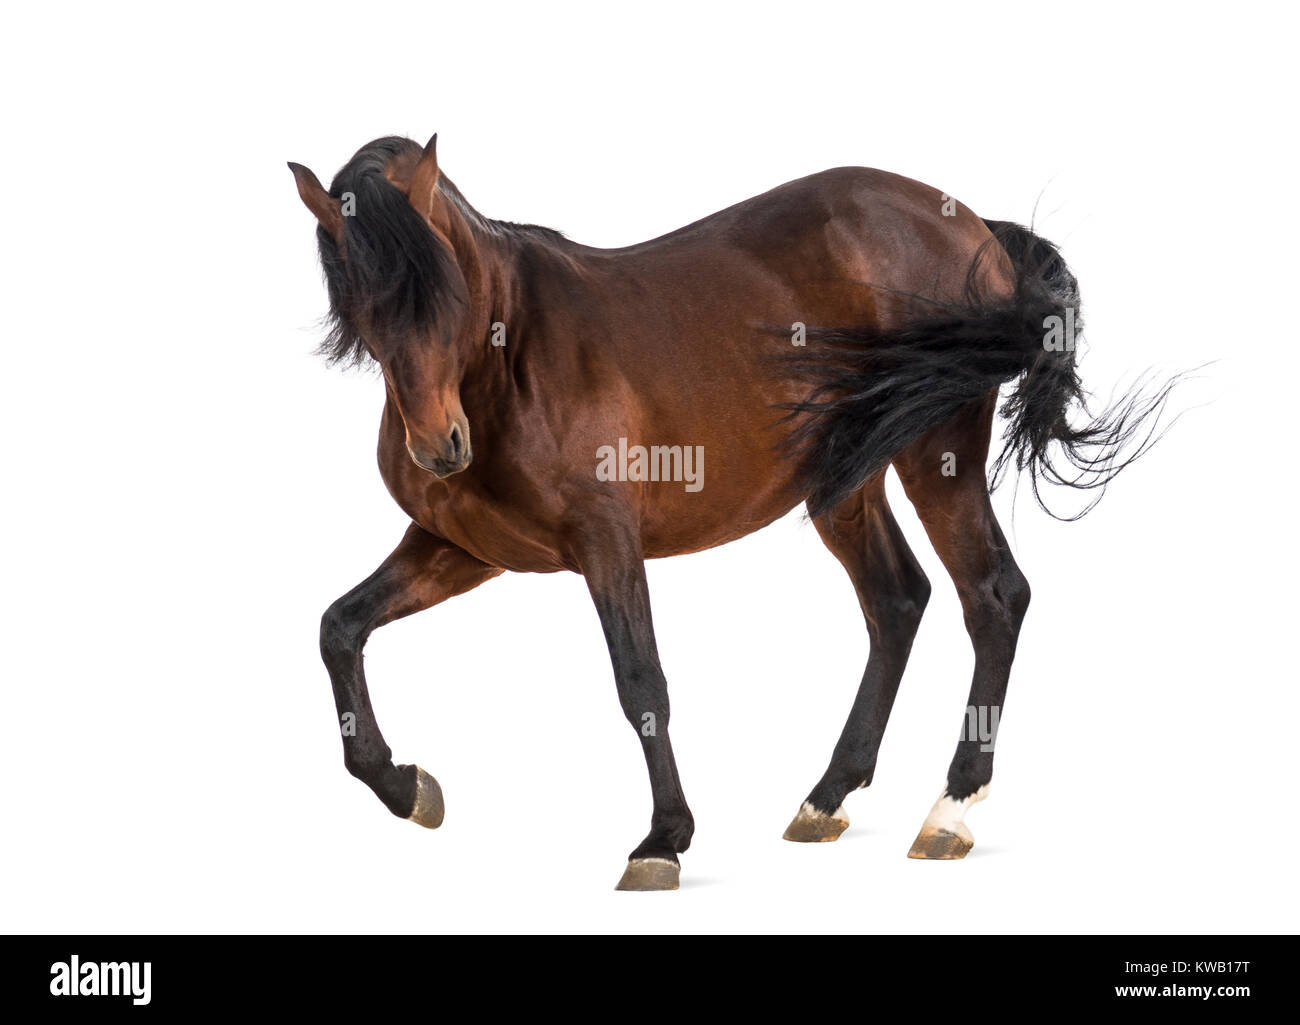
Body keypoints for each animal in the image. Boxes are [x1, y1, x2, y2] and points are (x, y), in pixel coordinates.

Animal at [288, 133, 1174, 890]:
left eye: (443, 293)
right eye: (361, 305)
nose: (440, 446)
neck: (510, 358)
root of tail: (975, 227)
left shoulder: (605, 541)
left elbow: (640, 680)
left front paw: (663, 839)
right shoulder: (464, 548)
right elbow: (340, 627)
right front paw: (405, 784)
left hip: (936, 453)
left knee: (991, 595)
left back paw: (951, 808)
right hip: (846, 479)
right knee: (898, 600)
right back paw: (828, 796)